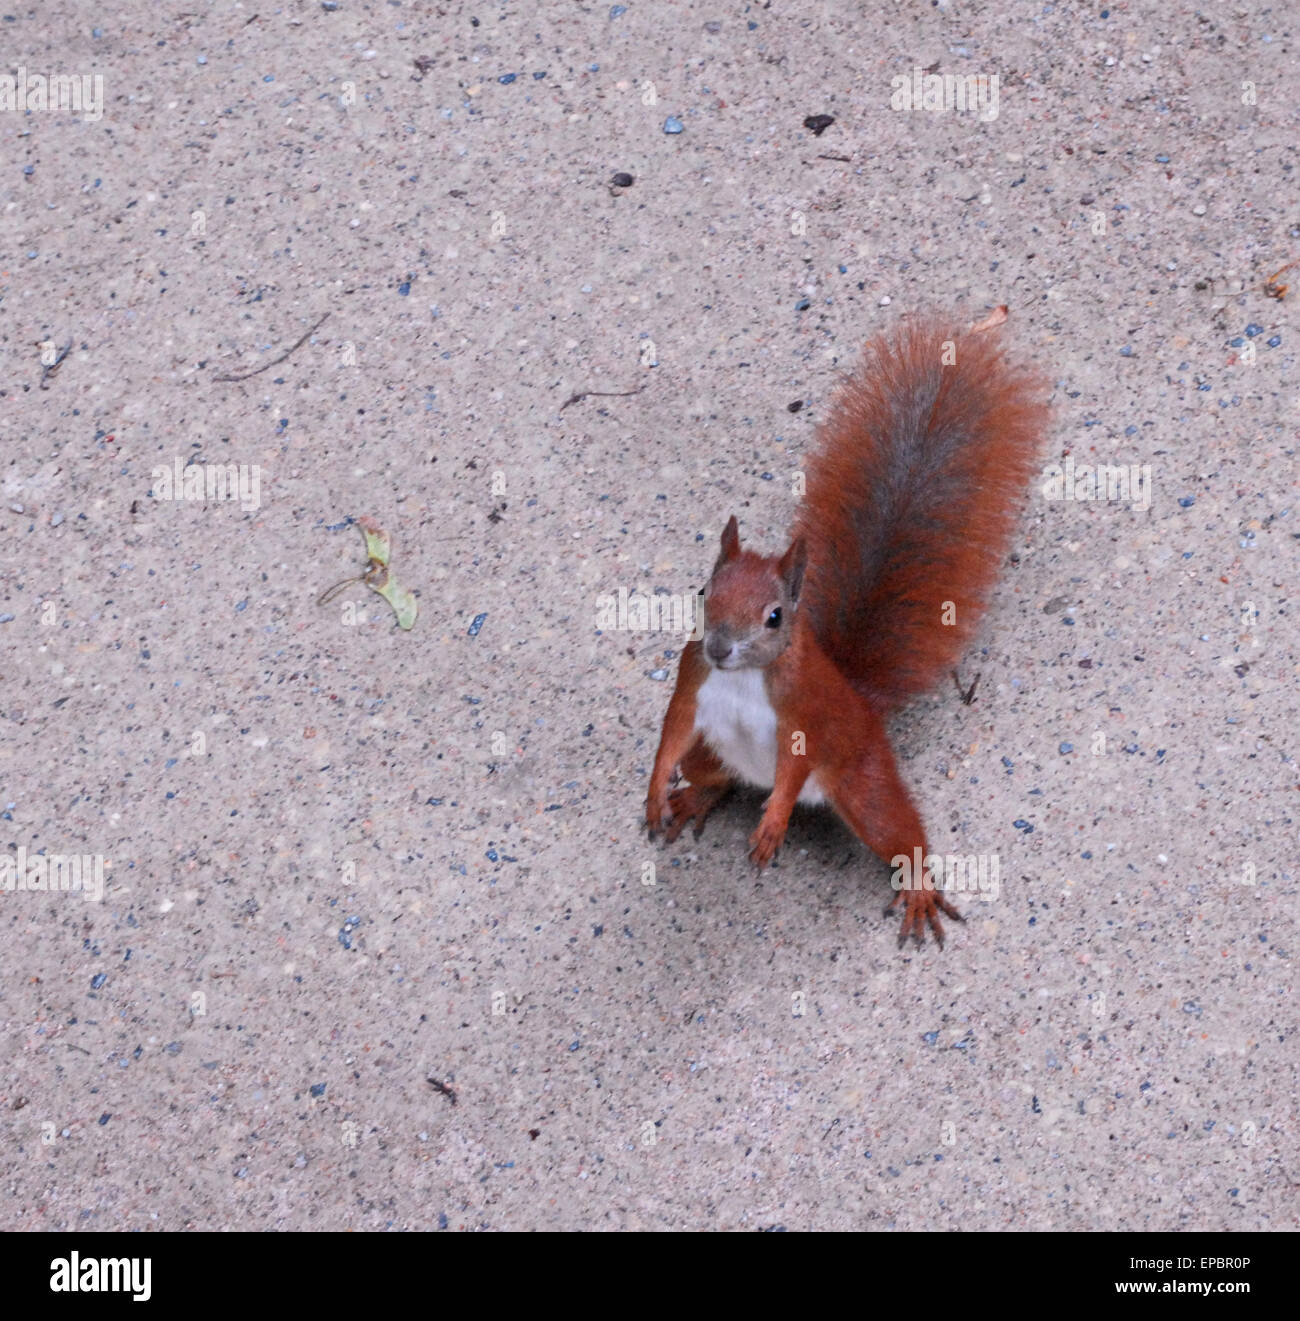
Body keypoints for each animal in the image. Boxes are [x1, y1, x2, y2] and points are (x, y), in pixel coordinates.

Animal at [644, 314, 1051, 945]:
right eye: (705, 592)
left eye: (775, 616)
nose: (720, 646)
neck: (742, 678)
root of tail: (862, 700)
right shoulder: (693, 679)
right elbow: (673, 729)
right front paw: (653, 793)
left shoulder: (805, 709)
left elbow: (793, 765)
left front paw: (773, 824)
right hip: (711, 752)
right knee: (715, 777)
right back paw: (693, 800)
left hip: (862, 779)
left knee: (896, 828)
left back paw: (917, 888)